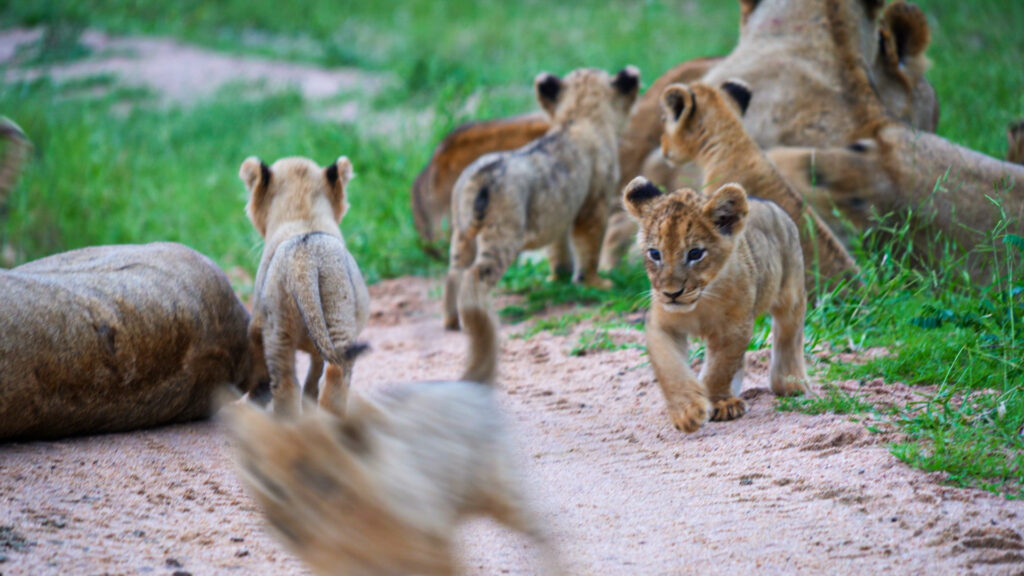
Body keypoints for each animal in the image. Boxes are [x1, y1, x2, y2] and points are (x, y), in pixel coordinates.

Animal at [222, 271, 561, 576]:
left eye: (316, 478)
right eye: (261, 475)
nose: (284, 525)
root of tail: (468, 383)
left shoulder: (434, 546)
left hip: (501, 497)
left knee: (547, 533)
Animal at [240, 155, 370, 418]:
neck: (303, 215)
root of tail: (305, 259)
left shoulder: (257, 321)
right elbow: (314, 375)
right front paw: (311, 403)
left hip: (278, 325)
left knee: (286, 385)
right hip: (338, 308)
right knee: (336, 371)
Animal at [443, 66, 641, 330]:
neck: (579, 116)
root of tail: (478, 178)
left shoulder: (559, 208)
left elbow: (558, 247)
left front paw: (559, 278)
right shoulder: (593, 205)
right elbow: (589, 246)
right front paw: (594, 283)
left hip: (462, 232)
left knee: (454, 273)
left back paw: (452, 320)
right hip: (502, 235)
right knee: (474, 276)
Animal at [623, 178, 809, 433]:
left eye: (695, 253)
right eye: (655, 253)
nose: (672, 294)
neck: (701, 302)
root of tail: (765, 201)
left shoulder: (734, 328)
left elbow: (719, 368)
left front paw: (718, 402)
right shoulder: (661, 325)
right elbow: (670, 368)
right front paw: (687, 412)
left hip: (791, 292)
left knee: (789, 334)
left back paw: (790, 382)